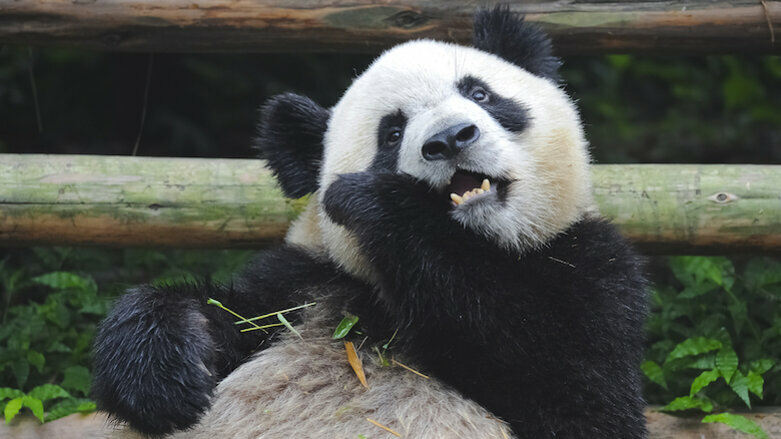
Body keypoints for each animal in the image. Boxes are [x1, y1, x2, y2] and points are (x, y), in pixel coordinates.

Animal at [93, 7, 649, 439]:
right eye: (392, 132)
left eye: (480, 94)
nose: (450, 138)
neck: (483, 246)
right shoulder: (302, 284)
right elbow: (226, 313)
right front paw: (162, 376)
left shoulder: (597, 274)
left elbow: (570, 387)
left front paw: (381, 204)